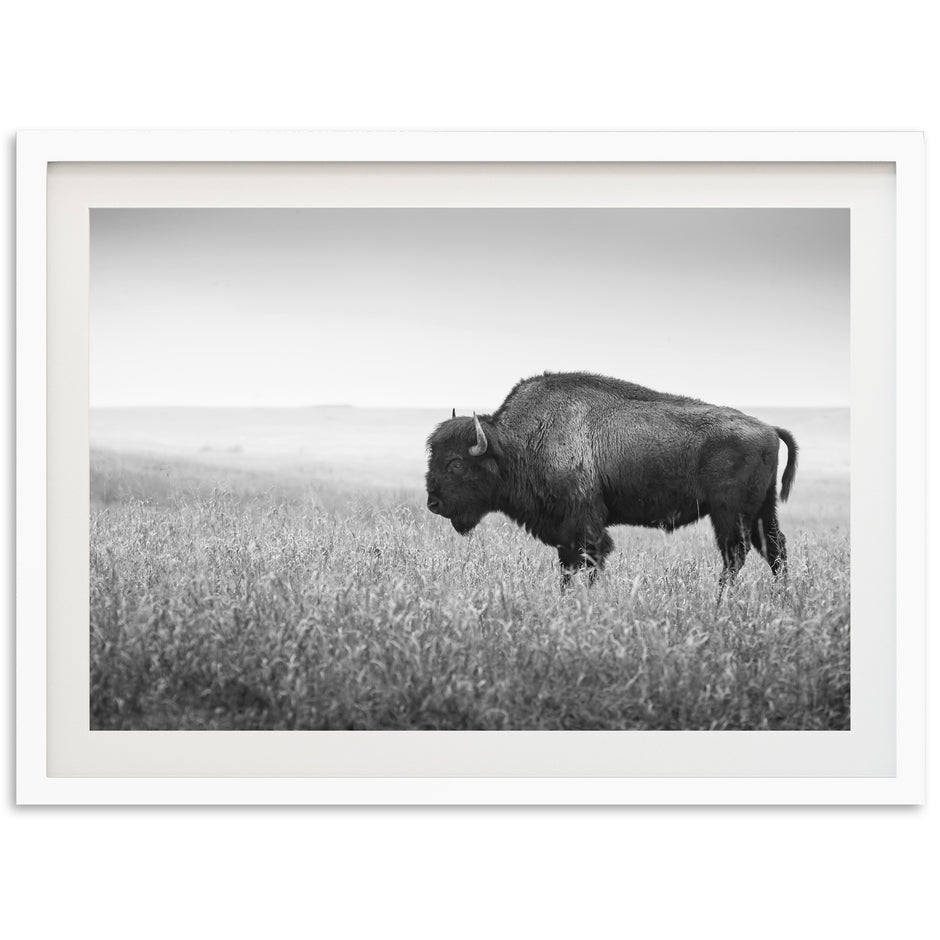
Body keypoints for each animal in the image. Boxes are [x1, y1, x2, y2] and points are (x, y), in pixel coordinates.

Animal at [425, 372, 798, 595]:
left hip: (729, 514)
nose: (433, 503)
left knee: (736, 554)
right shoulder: (564, 531)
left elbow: (590, 559)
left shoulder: (584, 523)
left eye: (456, 463)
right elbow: (568, 566)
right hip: (762, 510)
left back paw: (720, 599)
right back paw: (781, 598)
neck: (517, 443)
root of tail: (768, 428)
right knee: (774, 549)